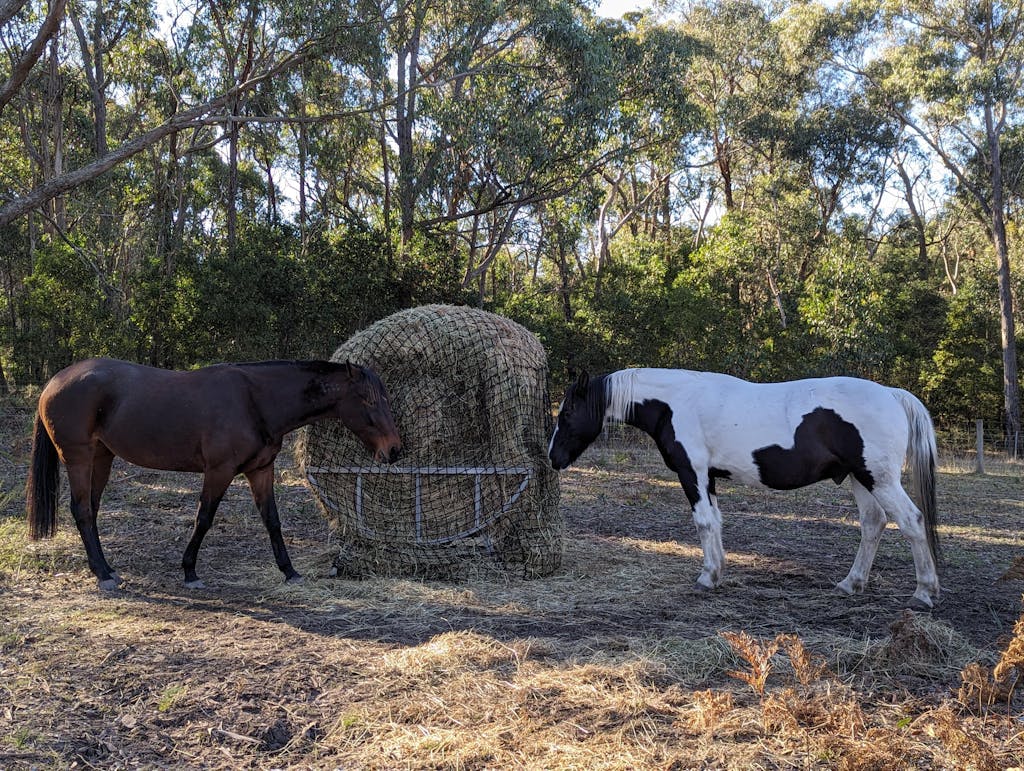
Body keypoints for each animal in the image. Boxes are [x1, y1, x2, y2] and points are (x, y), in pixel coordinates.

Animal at [26, 357, 402, 591]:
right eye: (368, 400)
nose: (395, 450)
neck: (255, 400)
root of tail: (54, 382)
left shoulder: (261, 471)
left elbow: (272, 521)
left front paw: (289, 571)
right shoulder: (219, 472)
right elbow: (204, 518)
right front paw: (189, 571)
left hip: (102, 458)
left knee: (91, 510)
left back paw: (103, 568)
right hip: (79, 458)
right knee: (82, 510)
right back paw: (103, 575)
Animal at [548, 368, 941, 609]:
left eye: (566, 414)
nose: (553, 458)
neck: (676, 403)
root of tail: (892, 394)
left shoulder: (692, 472)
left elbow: (704, 523)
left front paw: (708, 577)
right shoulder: (708, 477)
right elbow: (716, 523)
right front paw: (717, 571)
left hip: (879, 478)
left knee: (911, 520)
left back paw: (924, 592)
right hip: (860, 478)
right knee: (873, 524)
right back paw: (851, 583)